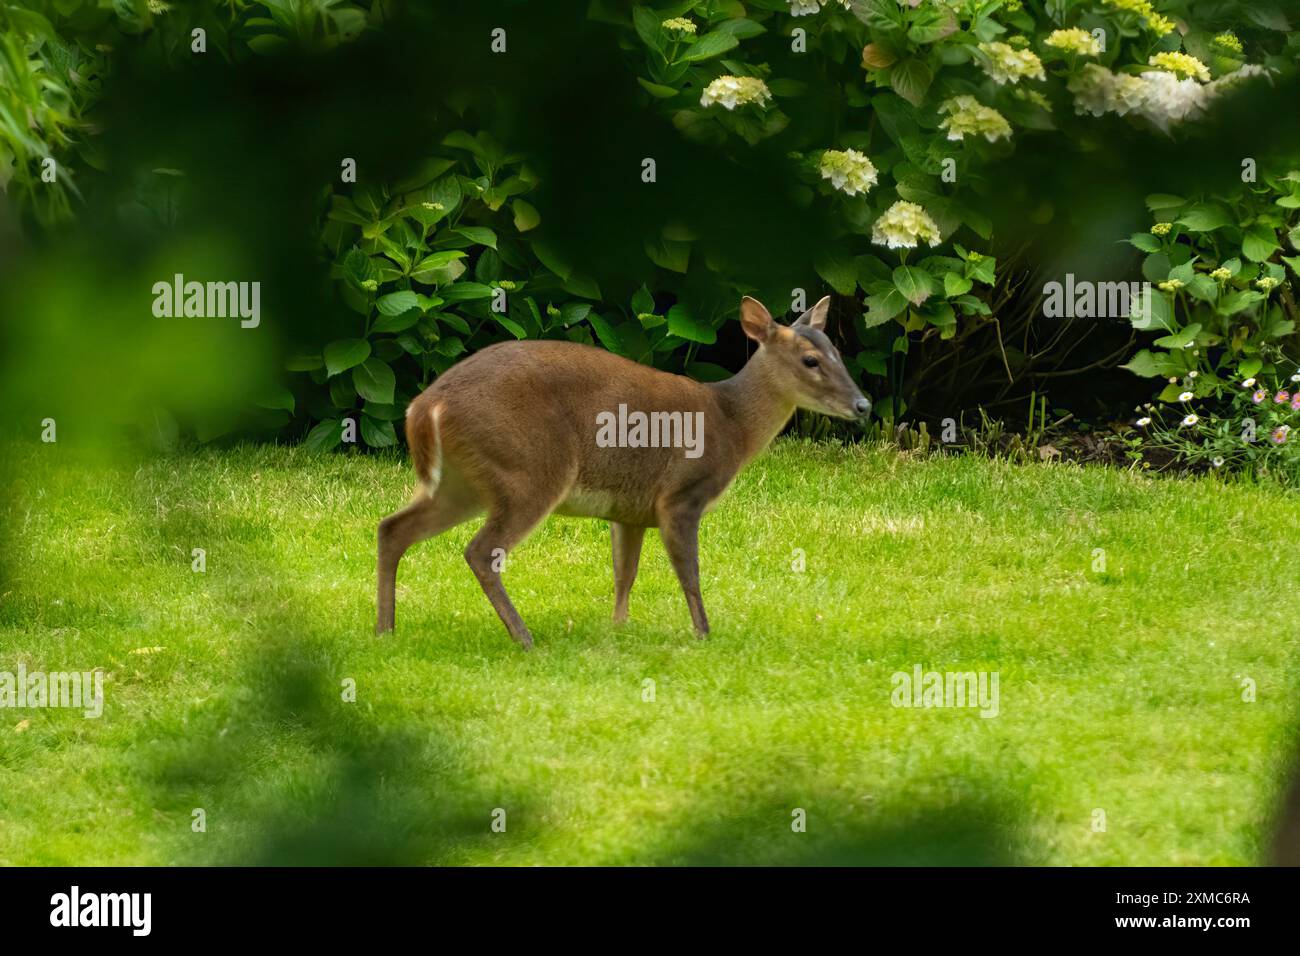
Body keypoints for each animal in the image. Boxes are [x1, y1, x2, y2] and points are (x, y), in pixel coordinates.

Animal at [376, 294, 870, 648]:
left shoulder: (630, 511)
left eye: (838, 353)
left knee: (392, 527)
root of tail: (425, 406)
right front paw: (703, 633)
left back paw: (385, 629)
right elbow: (689, 572)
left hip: (463, 482)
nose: (863, 404)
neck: (732, 422)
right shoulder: (681, 494)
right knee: (480, 551)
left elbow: (624, 572)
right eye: (810, 360)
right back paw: (524, 637)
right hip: (529, 469)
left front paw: (618, 628)